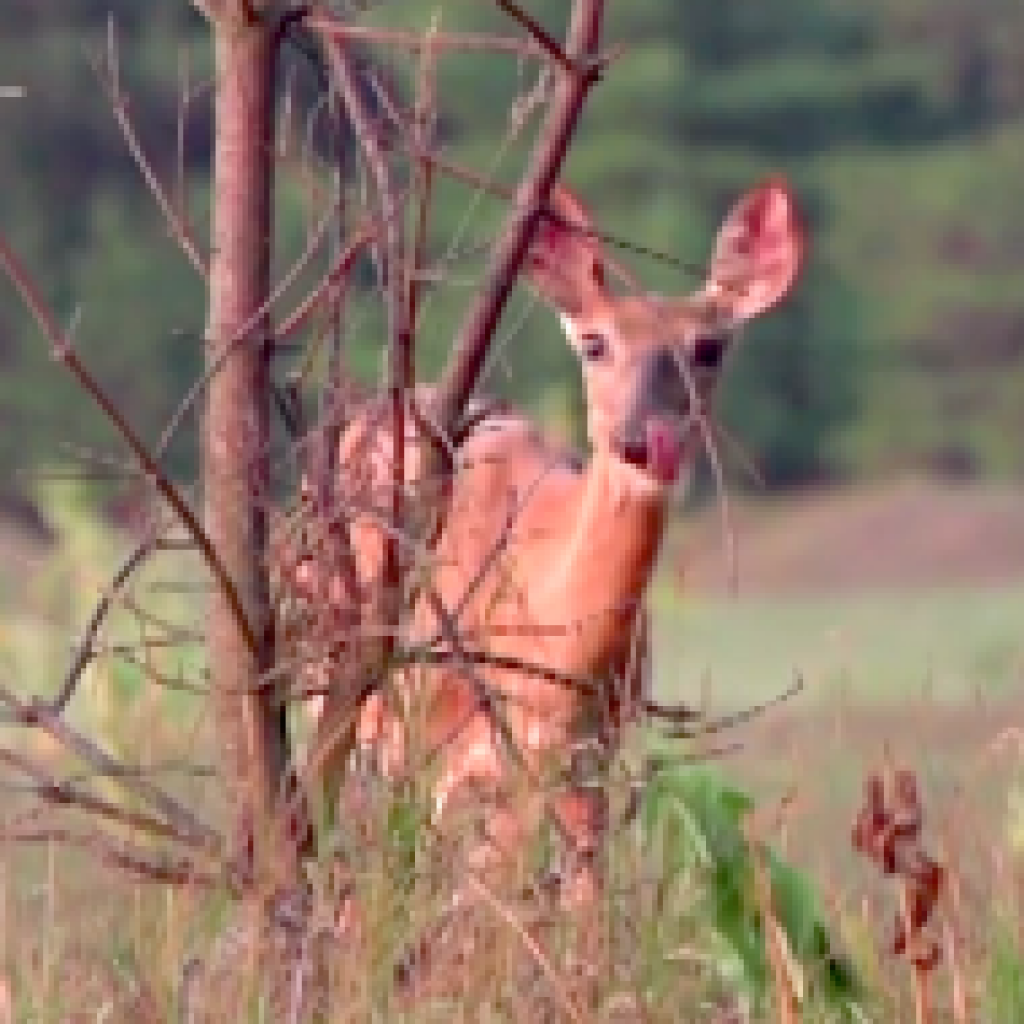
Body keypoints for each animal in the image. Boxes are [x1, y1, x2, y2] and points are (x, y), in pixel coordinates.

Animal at [282, 177, 805, 920]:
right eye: (594, 343)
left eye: (709, 348)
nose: (641, 439)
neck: (559, 632)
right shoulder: (474, 743)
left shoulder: (589, 755)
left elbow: (584, 912)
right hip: (353, 683)